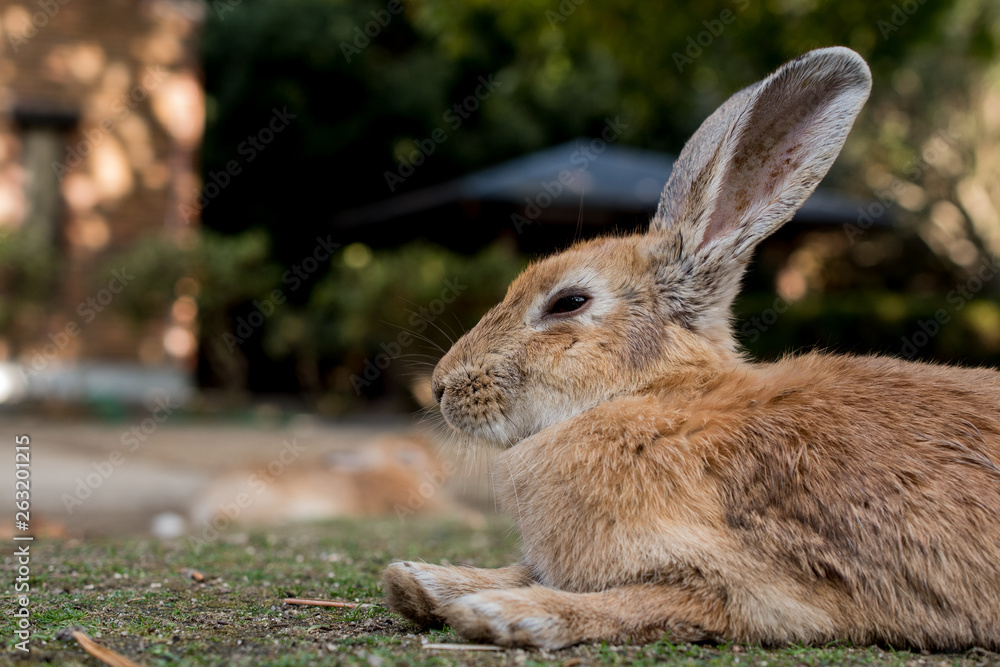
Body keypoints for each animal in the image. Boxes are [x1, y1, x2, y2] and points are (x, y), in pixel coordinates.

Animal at [381, 47, 1000, 651]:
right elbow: (522, 568)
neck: (663, 399)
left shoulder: (757, 586)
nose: (440, 386)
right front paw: (418, 580)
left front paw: (502, 612)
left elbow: (636, 604)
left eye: (568, 302)